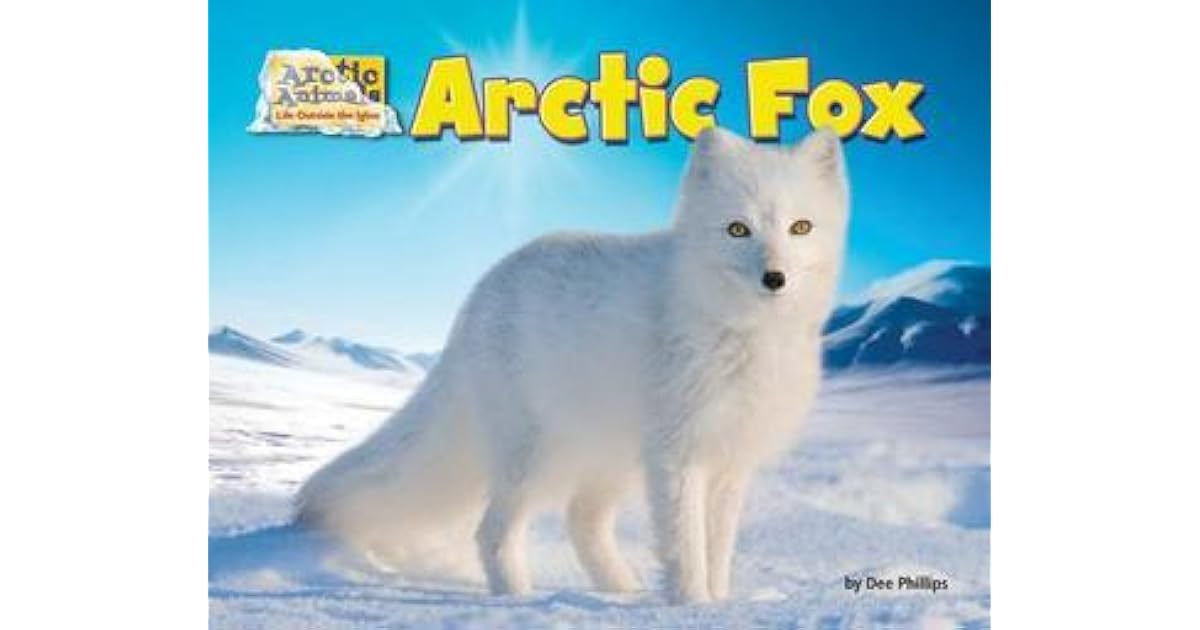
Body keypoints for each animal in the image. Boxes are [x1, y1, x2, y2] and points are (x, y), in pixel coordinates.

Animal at [296, 126, 850, 604]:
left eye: (800, 228)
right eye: (738, 229)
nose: (774, 278)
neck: (741, 334)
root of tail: (479, 294)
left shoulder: (730, 461)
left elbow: (716, 554)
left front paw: (720, 604)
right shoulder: (679, 456)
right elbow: (686, 550)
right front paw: (693, 607)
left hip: (612, 457)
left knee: (581, 520)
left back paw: (620, 592)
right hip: (536, 456)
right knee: (493, 531)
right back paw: (520, 601)